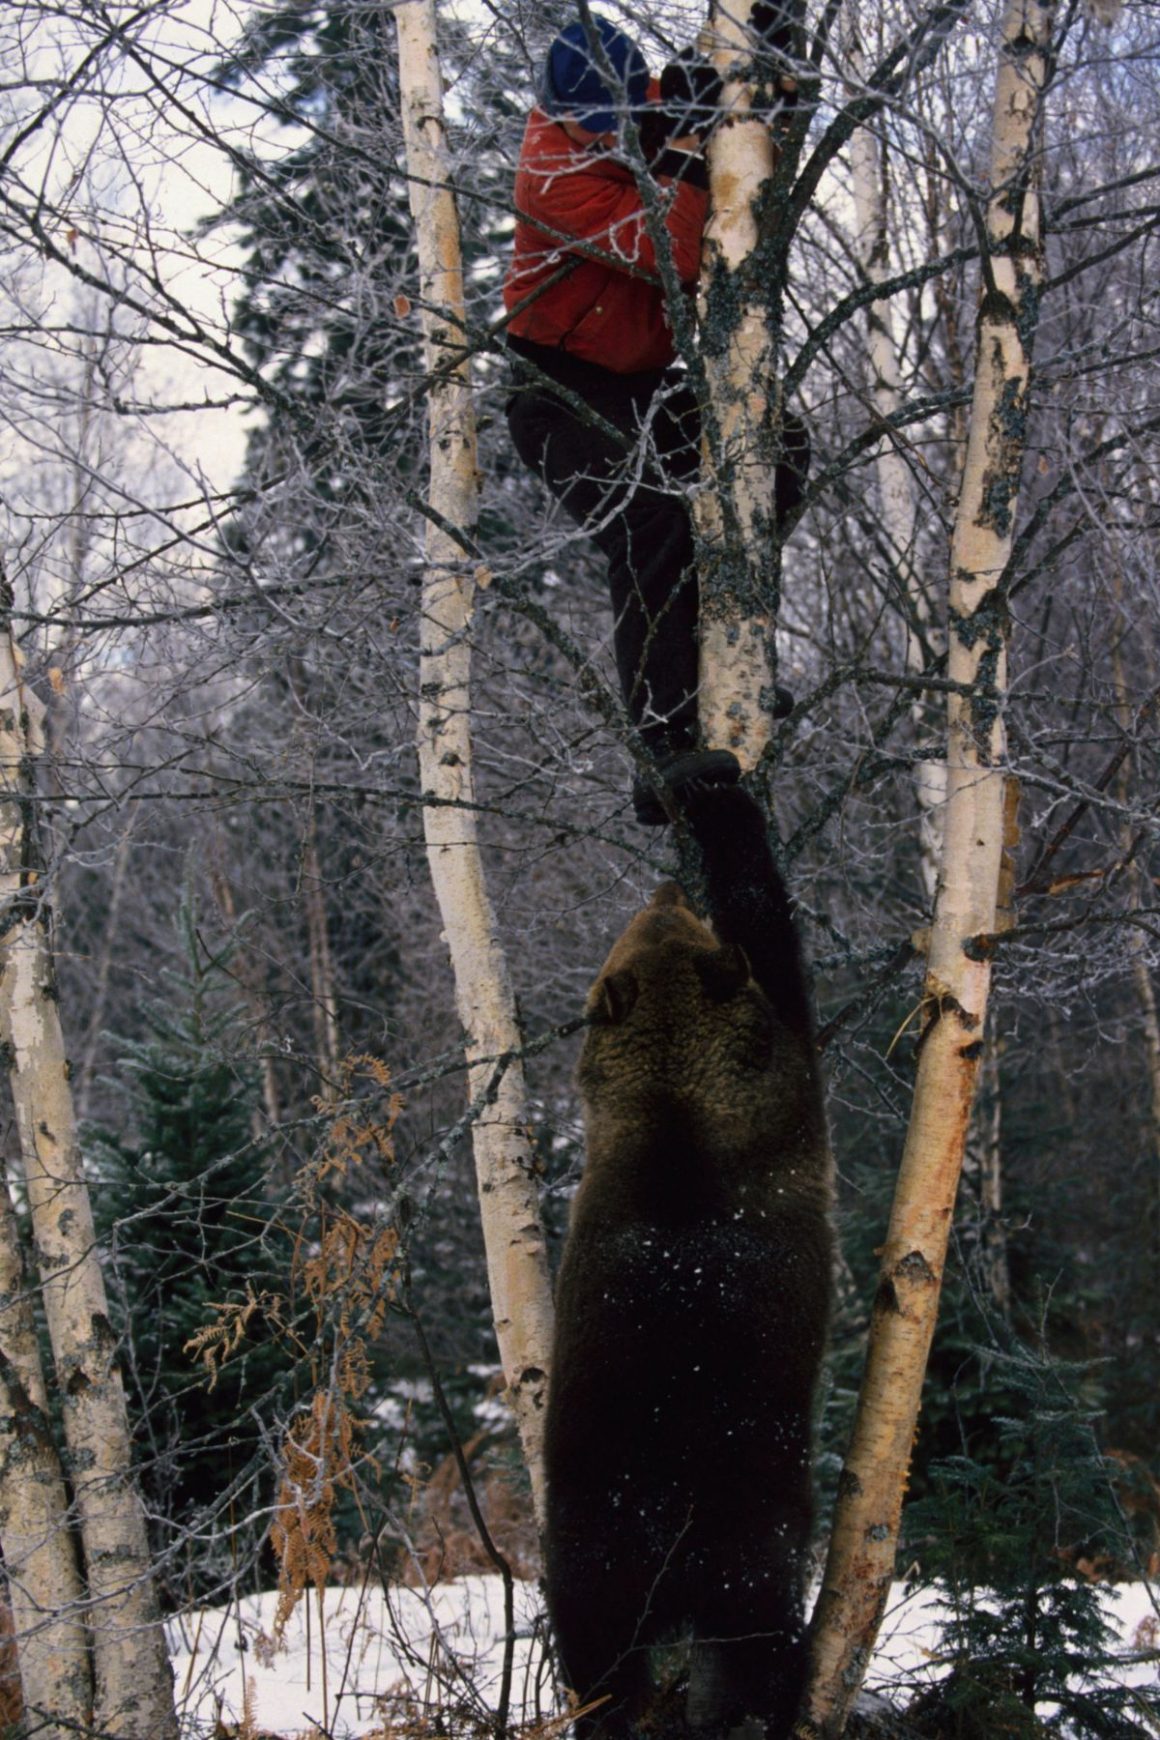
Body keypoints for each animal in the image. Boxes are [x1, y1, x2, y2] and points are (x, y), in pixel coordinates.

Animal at [544, 782, 833, 1740]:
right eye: (657, 920)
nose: (667, 888)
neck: (677, 1102)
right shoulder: (787, 1066)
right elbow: (772, 936)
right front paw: (717, 791)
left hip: (585, 1538)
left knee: (593, 1647)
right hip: (748, 1522)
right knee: (751, 1637)